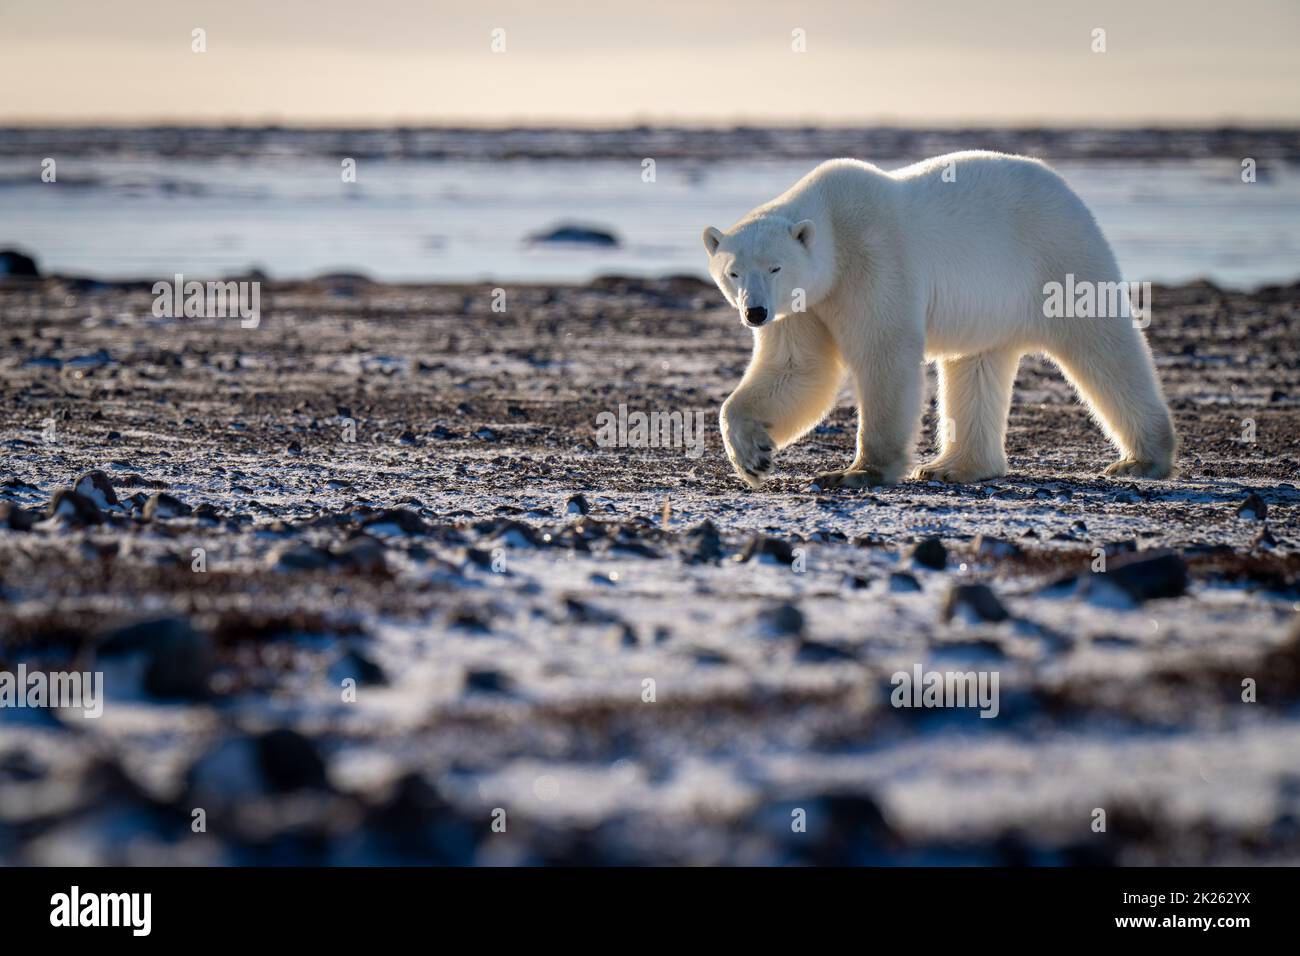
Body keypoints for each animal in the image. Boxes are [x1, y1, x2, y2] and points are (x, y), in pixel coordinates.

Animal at [701, 151, 1177, 490]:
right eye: (734, 272)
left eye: (775, 267)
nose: (755, 312)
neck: (834, 228)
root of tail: (1064, 187)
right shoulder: (805, 305)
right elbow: (798, 368)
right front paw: (753, 456)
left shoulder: (871, 259)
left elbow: (885, 352)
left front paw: (857, 472)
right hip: (990, 303)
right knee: (977, 366)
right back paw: (953, 466)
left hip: (1058, 253)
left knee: (1102, 345)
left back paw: (1142, 458)